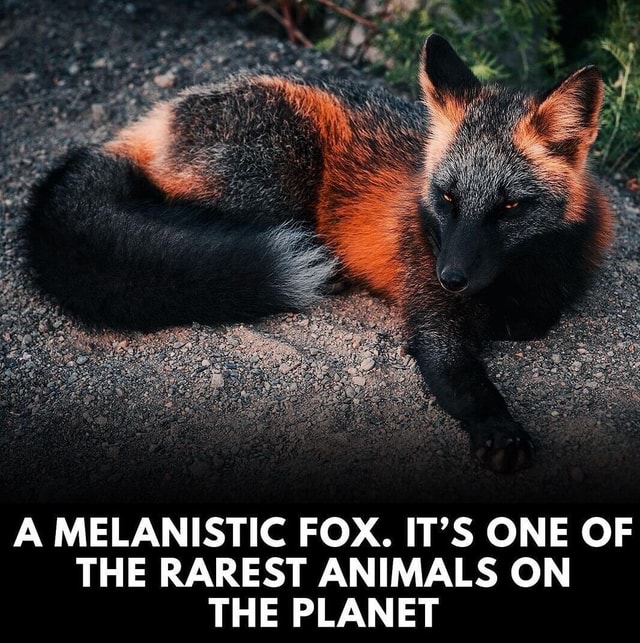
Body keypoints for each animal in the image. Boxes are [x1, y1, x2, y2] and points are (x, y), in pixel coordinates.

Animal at [25, 34, 614, 473]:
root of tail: (160, 115)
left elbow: (537, 317)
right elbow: (466, 380)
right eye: (447, 198)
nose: (450, 276)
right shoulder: (431, 316)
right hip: (277, 179)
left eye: (510, 206)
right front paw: (499, 429)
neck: (516, 277)